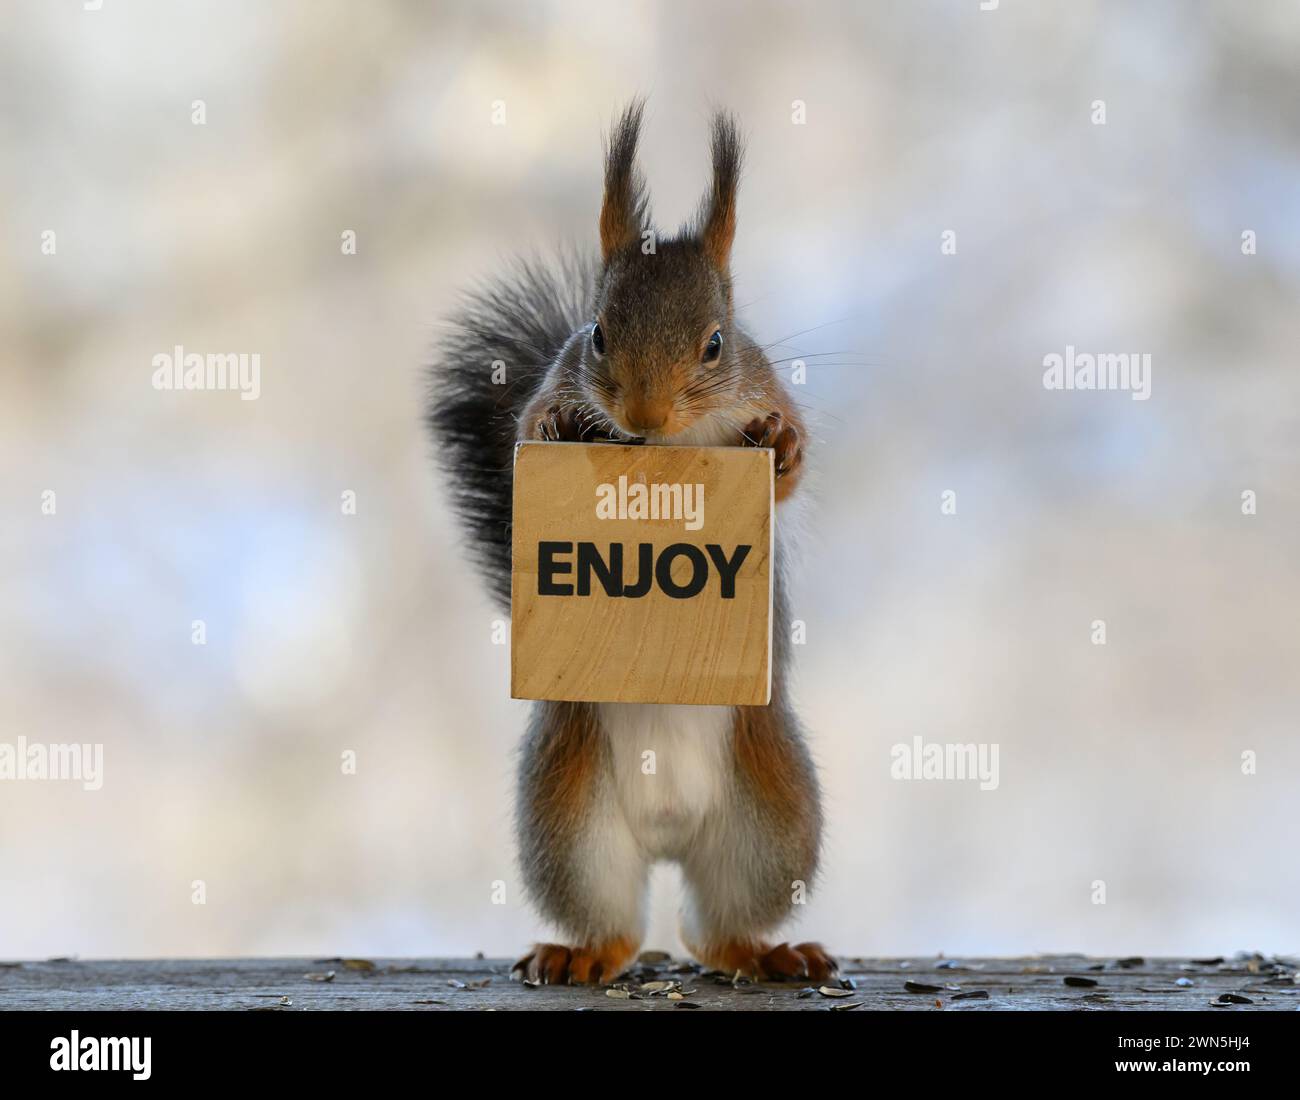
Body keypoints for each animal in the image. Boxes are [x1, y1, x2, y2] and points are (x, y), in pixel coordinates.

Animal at [428, 100, 833, 984]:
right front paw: (556, 426)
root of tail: (668, 827)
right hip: (568, 816)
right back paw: (579, 956)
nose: (643, 417)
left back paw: (772, 952)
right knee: (616, 919)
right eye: (598, 333)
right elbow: (532, 454)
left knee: (716, 928)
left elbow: (788, 475)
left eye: (718, 341)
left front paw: (780, 446)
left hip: (771, 820)